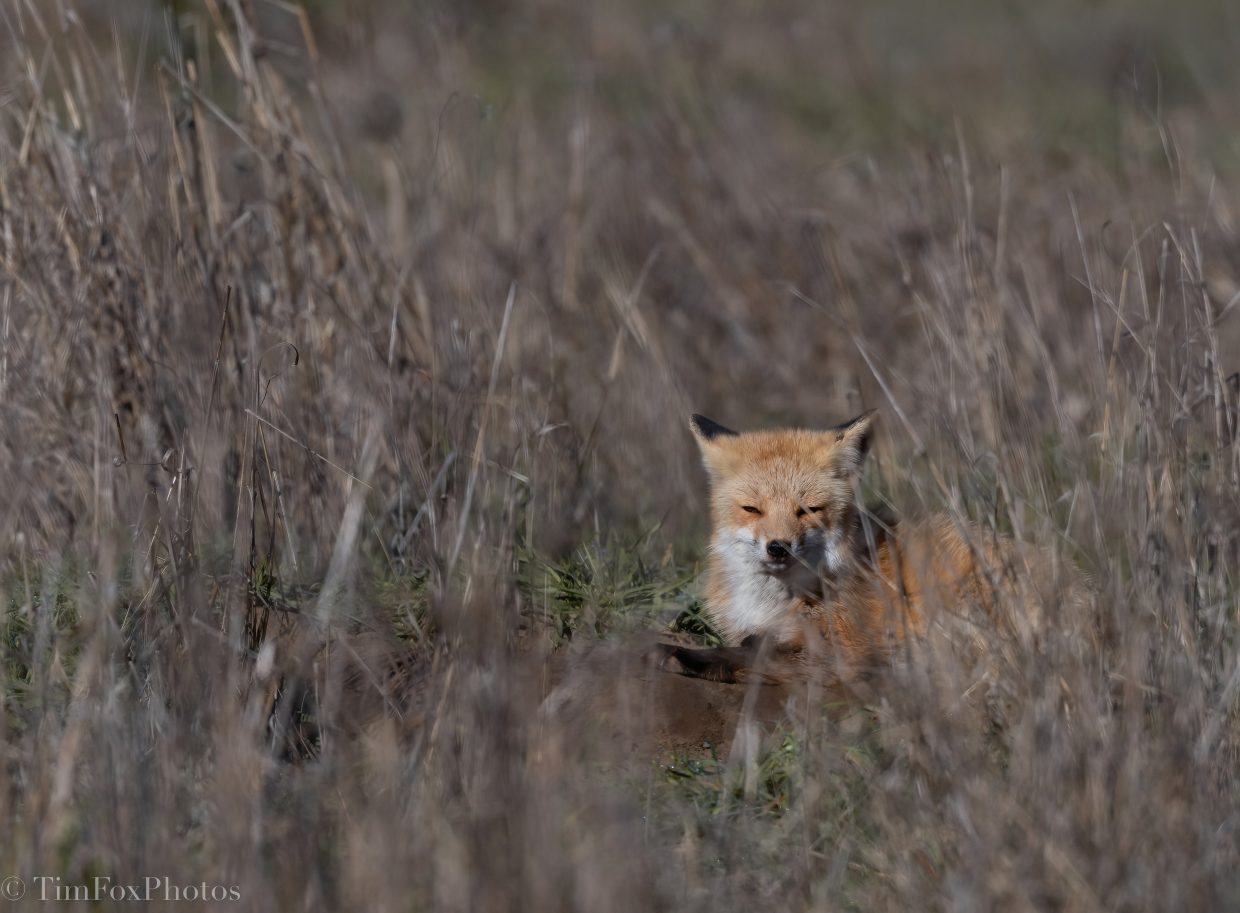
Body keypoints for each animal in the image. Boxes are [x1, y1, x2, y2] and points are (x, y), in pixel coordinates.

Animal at [661, 410, 1086, 688]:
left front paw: (694, 658)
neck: (775, 602)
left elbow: (756, 653)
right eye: (752, 509)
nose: (779, 548)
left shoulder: (846, 645)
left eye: (808, 510)